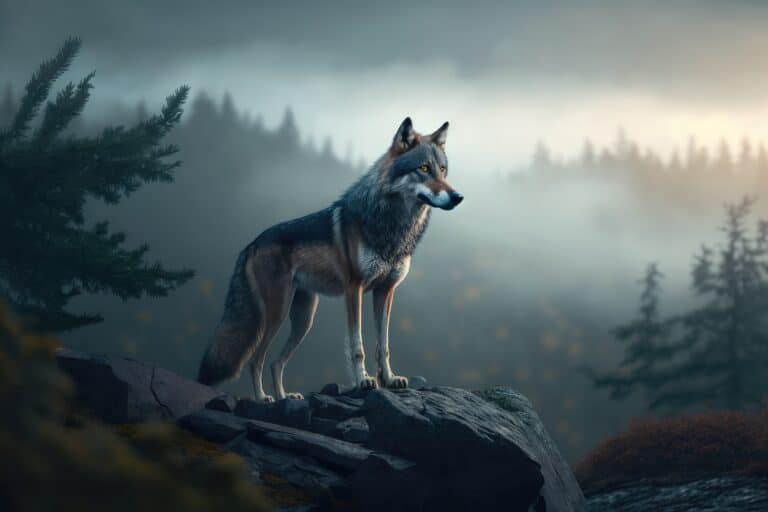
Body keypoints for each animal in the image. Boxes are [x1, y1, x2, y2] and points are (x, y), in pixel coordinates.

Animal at [197, 117, 463, 401]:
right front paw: (364, 381)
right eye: (424, 168)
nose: (457, 197)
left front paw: (390, 379)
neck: (392, 227)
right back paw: (262, 398)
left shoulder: (386, 290)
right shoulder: (354, 289)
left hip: (303, 320)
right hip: (276, 314)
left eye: (443, 170)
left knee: (275, 363)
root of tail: (252, 243)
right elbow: (358, 346)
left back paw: (285, 396)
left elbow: (383, 344)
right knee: (255, 360)